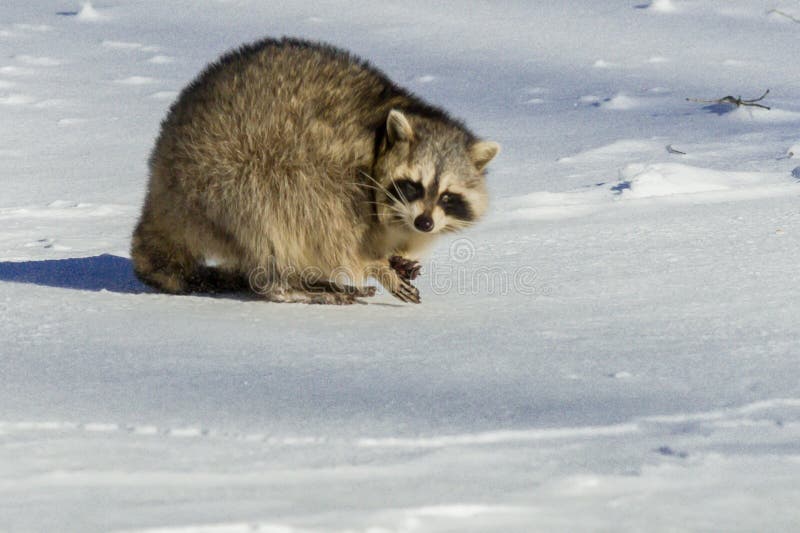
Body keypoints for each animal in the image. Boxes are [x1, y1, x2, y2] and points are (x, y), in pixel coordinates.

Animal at [131, 37, 499, 304]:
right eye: (413, 186)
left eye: (448, 196)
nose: (424, 223)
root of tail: (159, 178)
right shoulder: (342, 182)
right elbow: (337, 240)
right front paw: (377, 266)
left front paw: (395, 257)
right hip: (225, 176)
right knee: (266, 222)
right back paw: (287, 286)